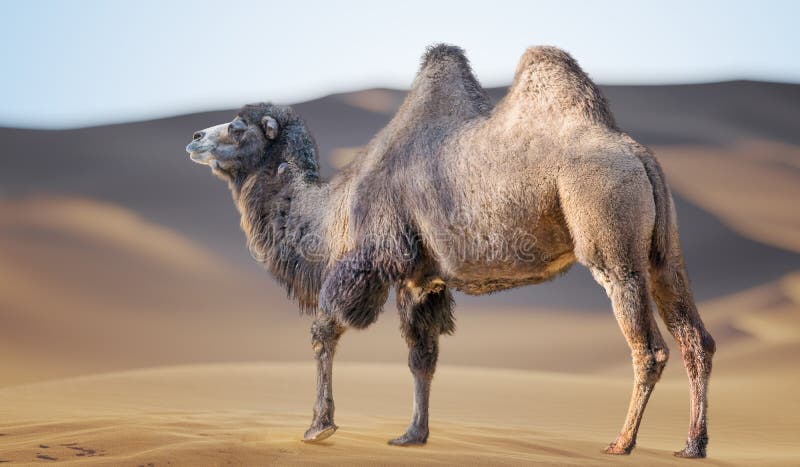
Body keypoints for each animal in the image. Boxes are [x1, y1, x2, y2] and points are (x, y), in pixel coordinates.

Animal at [185, 44, 715, 458]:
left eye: (238, 126)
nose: (194, 137)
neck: (333, 210)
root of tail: (639, 154)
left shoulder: (370, 259)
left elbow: (323, 331)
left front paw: (319, 428)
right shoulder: (421, 278)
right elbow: (422, 356)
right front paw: (412, 435)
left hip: (610, 234)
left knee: (648, 347)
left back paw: (622, 443)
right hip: (664, 251)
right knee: (696, 338)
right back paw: (692, 444)